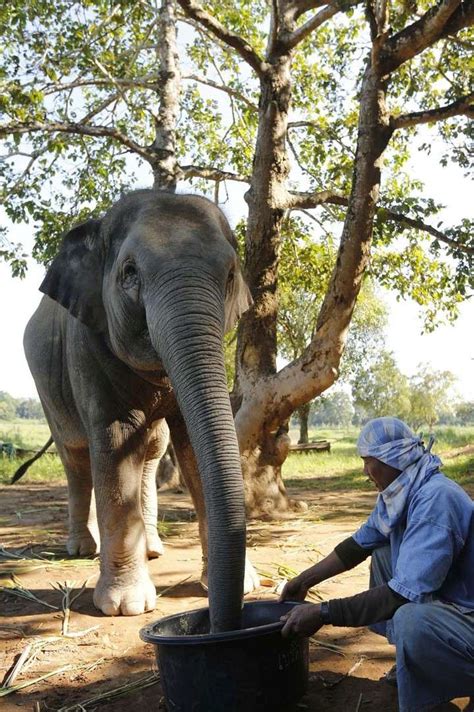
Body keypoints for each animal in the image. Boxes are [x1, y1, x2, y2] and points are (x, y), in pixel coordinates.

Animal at [23, 189, 254, 631]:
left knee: (149, 451)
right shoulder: (87, 346)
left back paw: (153, 549)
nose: (223, 619)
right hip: (47, 390)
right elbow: (114, 444)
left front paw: (247, 585)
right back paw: (83, 548)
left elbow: (192, 445)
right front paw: (125, 606)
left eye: (231, 274)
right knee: (76, 458)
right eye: (129, 272)